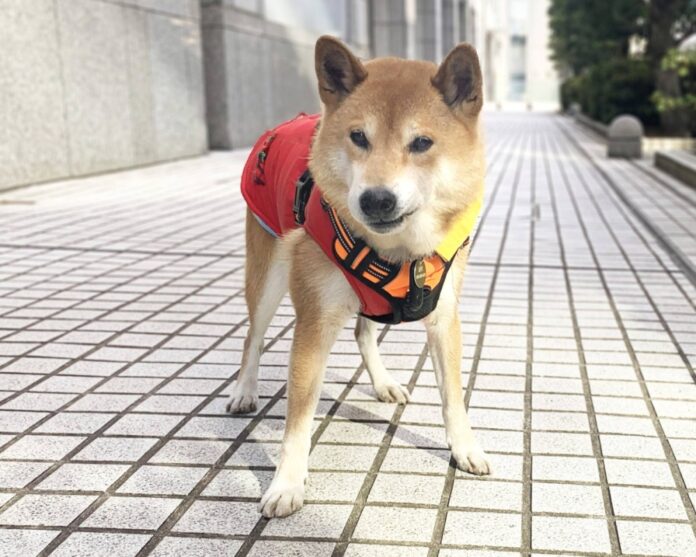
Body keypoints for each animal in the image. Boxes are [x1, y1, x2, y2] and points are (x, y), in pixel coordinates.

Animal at [228, 35, 490, 516]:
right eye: (358, 137)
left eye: (422, 142)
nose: (376, 199)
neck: (401, 251)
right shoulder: (313, 323)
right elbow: (298, 419)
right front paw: (286, 483)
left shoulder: (445, 317)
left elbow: (453, 397)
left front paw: (465, 448)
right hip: (268, 272)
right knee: (253, 335)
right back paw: (244, 390)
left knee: (364, 331)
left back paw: (383, 383)